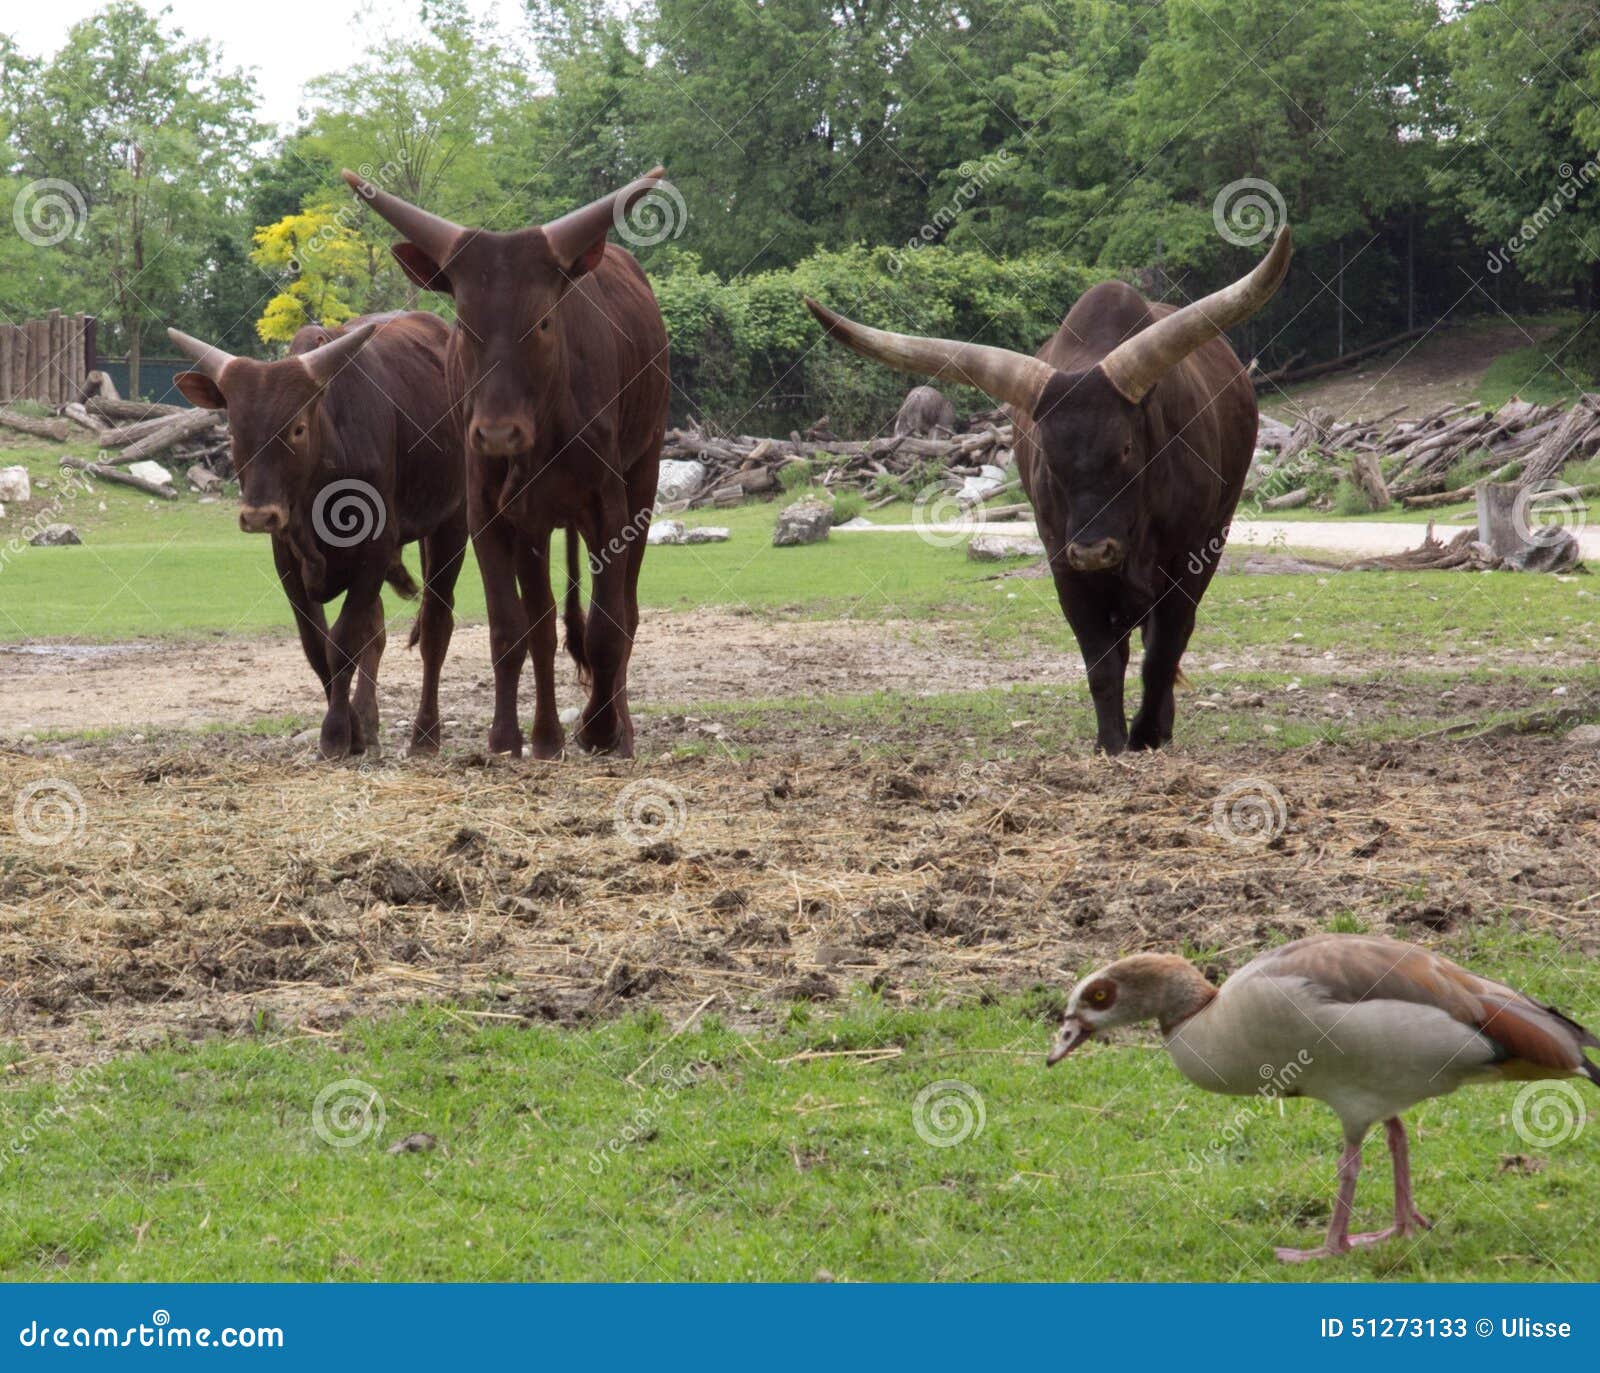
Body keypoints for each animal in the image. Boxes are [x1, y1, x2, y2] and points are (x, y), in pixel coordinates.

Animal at [166, 313, 468, 760]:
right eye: (233, 430)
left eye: (297, 429)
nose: (259, 515)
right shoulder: (287, 558)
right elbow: (317, 645)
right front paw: (354, 731)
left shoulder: (376, 549)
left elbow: (342, 641)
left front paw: (335, 735)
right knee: (375, 632)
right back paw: (370, 724)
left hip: (454, 522)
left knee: (435, 624)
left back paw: (425, 735)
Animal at [340, 168, 672, 760]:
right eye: (465, 323)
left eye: (541, 323)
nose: (498, 433)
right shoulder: (489, 514)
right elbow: (510, 628)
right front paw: (508, 737)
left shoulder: (610, 508)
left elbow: (609, 625)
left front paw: (602, 730)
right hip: (532, 522)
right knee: (541, 621)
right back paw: (547, 734)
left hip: (644, 472)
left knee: (625, 610)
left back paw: (613, 727)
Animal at [806, 228, 1291, 754]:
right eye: (1048, 456)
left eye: (1125, 447)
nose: (1095, 550)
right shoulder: (1063, 561)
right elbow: (1102, 663)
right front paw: (1111, 743)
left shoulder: (1191, 555)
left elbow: (1163, 651)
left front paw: (1147, 734)